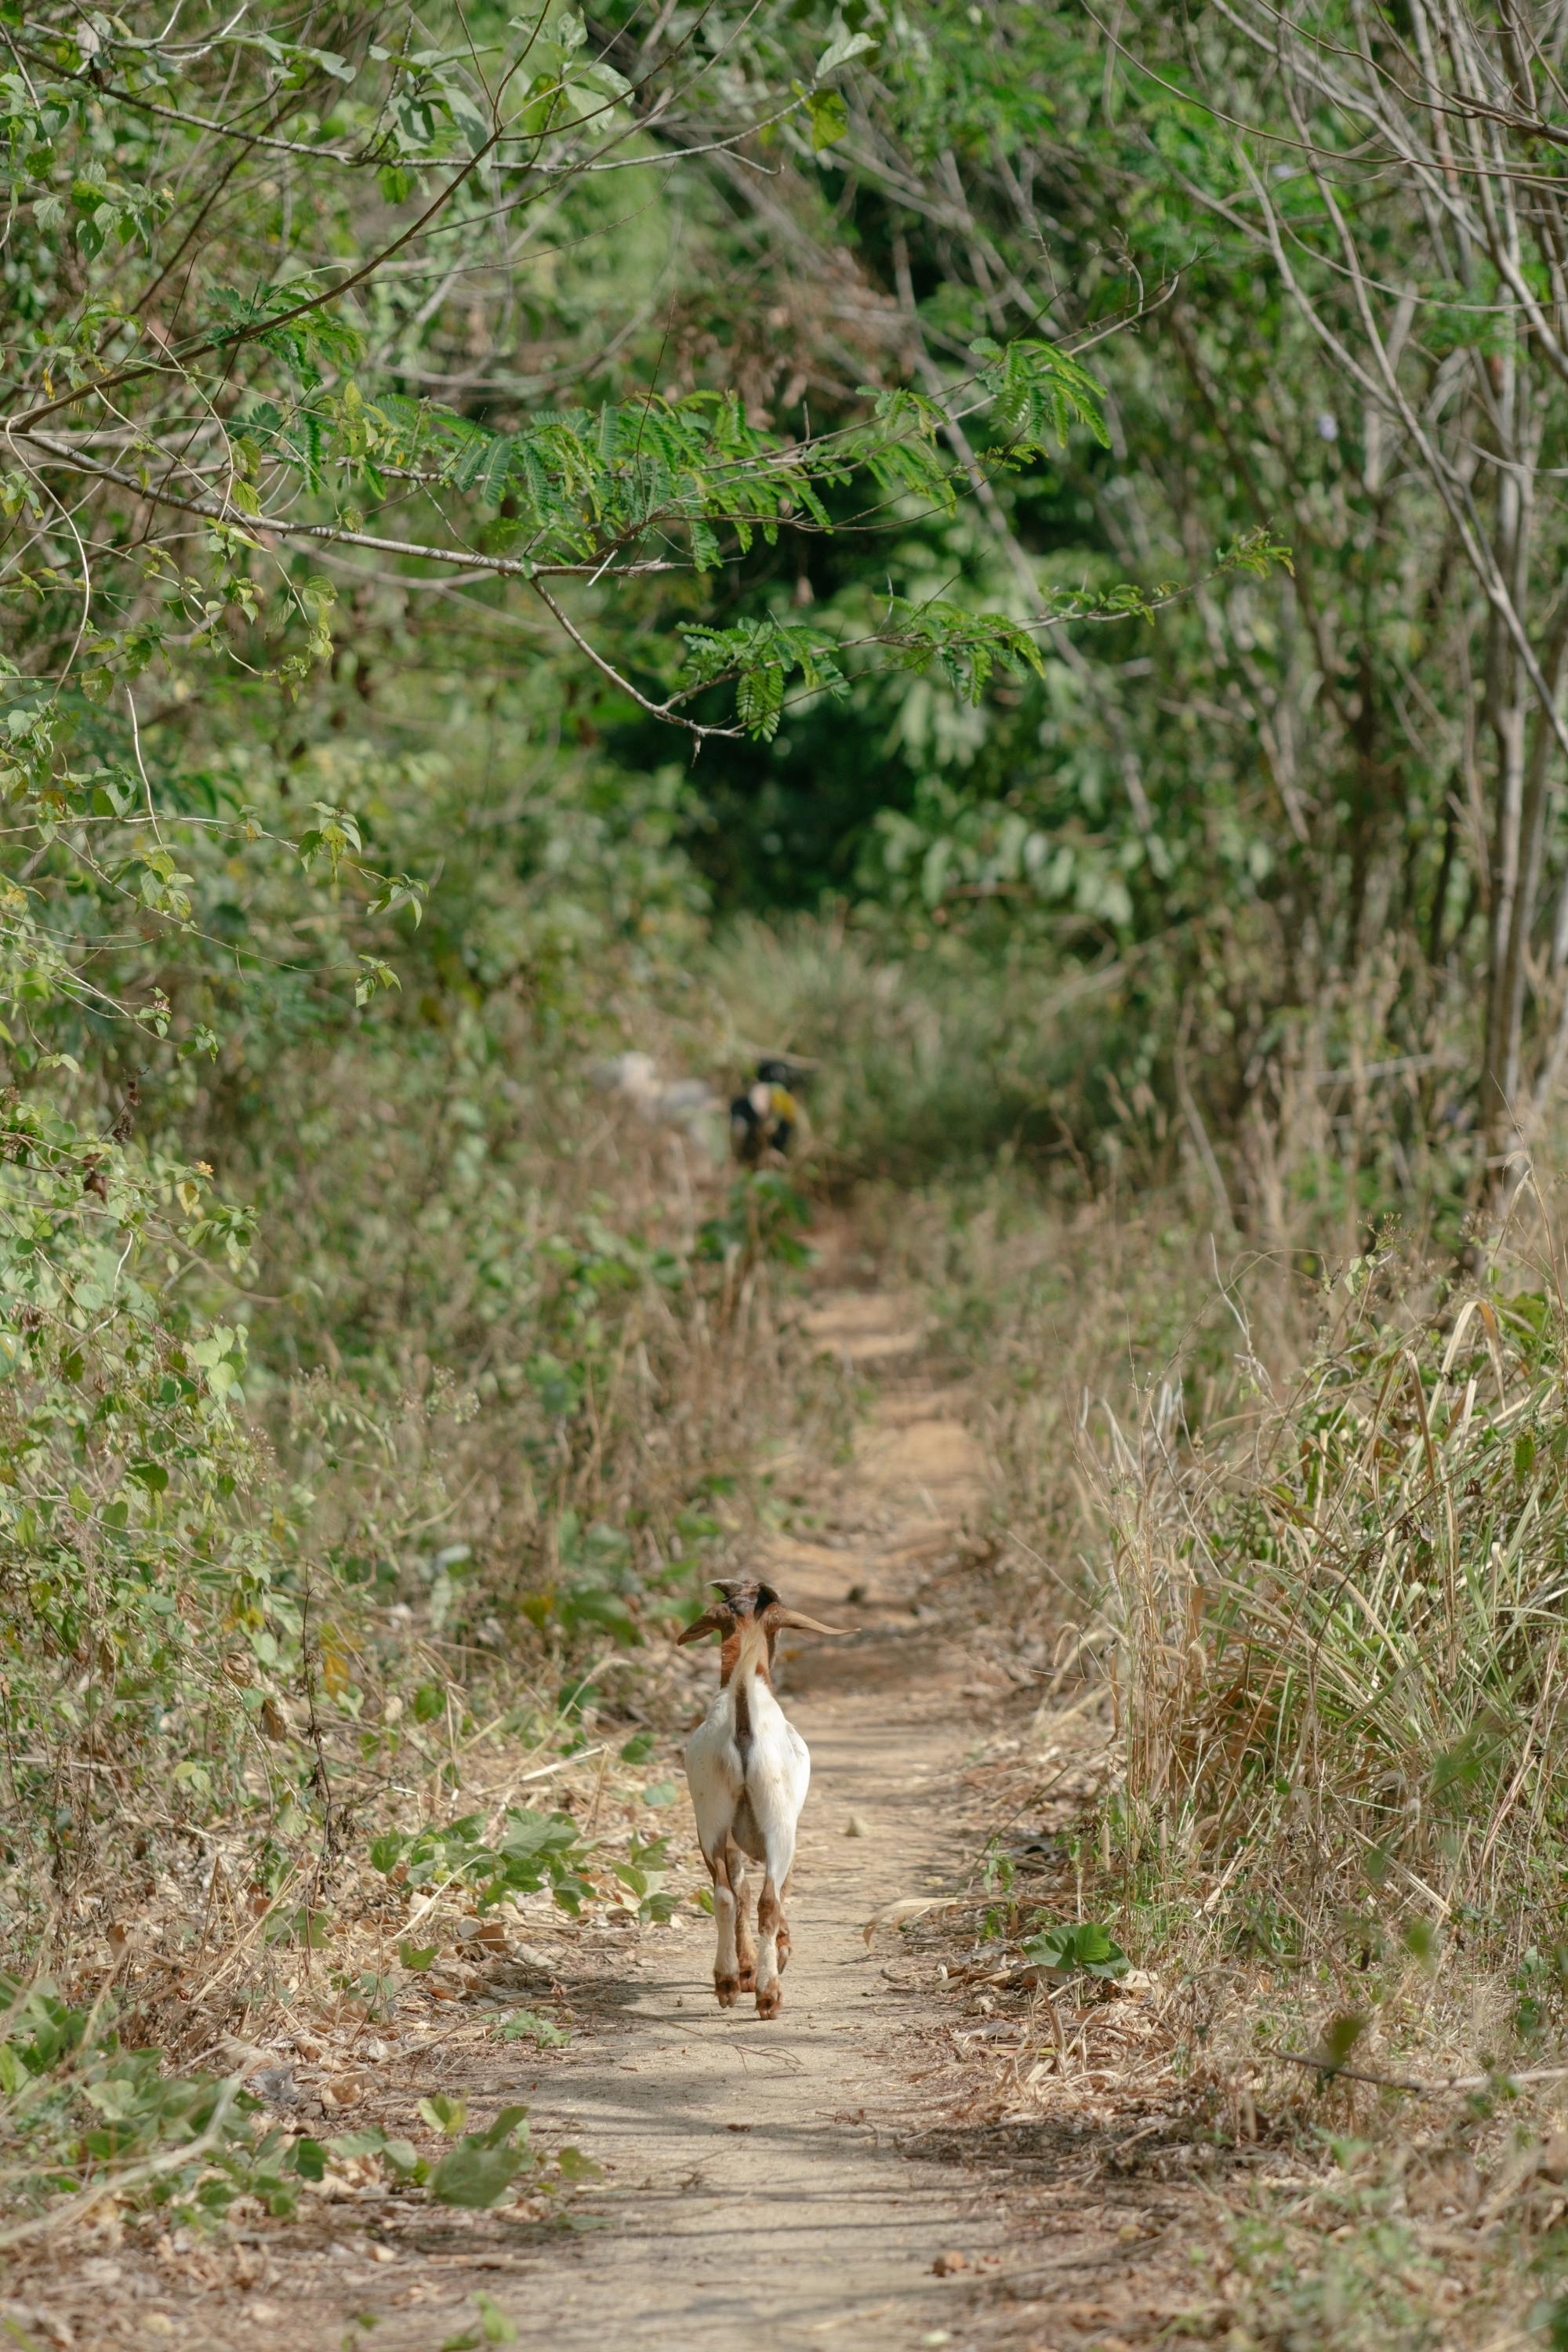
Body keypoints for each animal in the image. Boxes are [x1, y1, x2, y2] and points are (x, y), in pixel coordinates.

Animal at [677, 1578, 842, 2018]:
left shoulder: (726, 1837)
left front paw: (746, 1969)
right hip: (778, 1822)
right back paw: (769, 1993)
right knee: (769, 1899)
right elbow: (777, 1892)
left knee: (723, 1894)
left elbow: (739, 1890)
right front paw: (777, 1956)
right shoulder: (788, 1833)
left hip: (710, 1816)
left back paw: (727, 1982)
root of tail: (742, 1718)